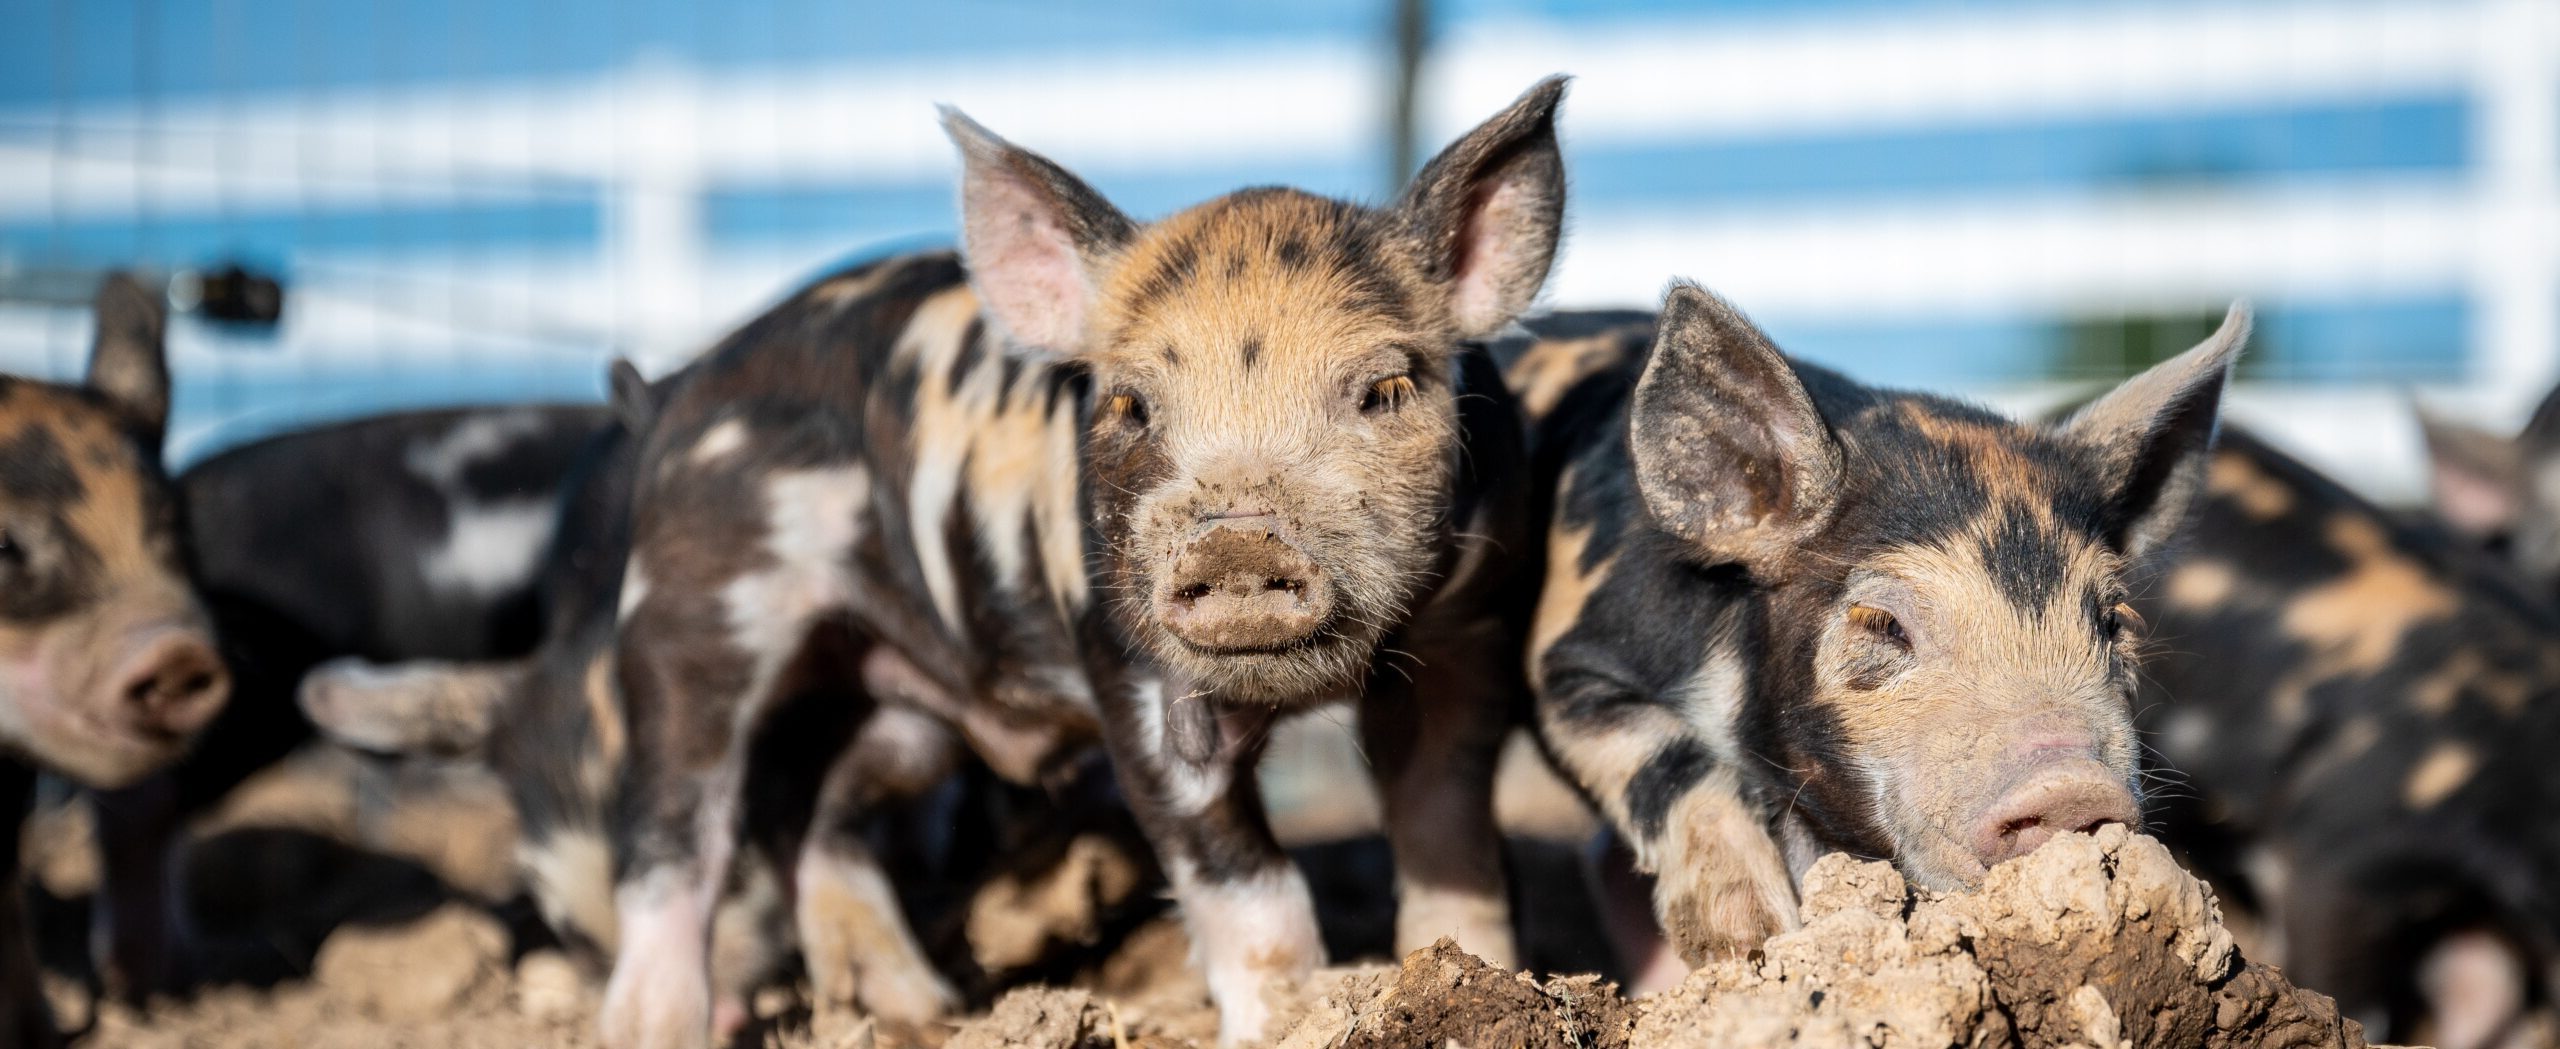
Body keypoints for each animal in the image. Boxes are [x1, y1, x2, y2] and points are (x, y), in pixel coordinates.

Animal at [597, 77, 1565, 1048]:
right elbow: (1251, 890)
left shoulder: (1466, 640)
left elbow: (1449, 838)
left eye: (1386, 389)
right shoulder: (1127, 664)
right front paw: (1281, 1022)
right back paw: (660, 1025)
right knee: (673, 831)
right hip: (693, 608)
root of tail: (686, 387)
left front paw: (1473, 976)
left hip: (905, 694)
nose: (1235, 538)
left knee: (828, 807)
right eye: (1131, 403)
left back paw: (919, 1009)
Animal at [1510, 283, 2245, 966]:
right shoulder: (1572, 662)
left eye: (2111, 620)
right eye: (1884, 623)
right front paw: (1747, 939)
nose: (2072, 789)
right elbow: (1667, 759)